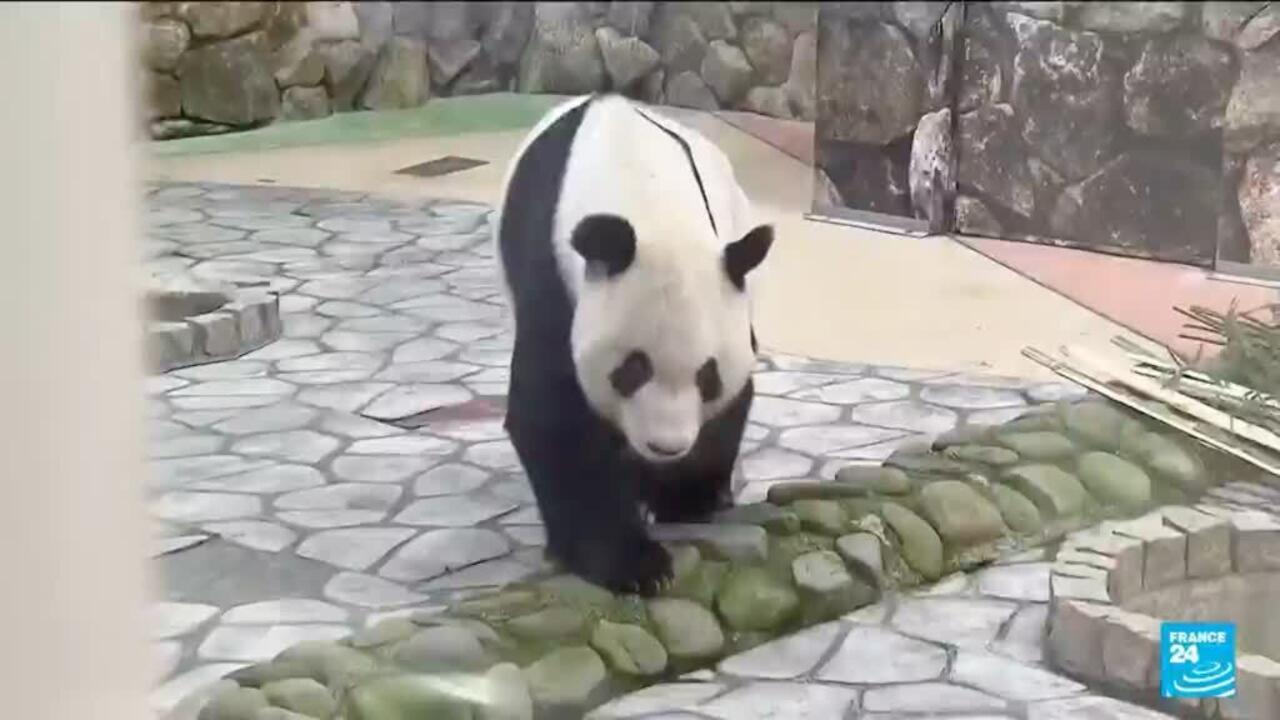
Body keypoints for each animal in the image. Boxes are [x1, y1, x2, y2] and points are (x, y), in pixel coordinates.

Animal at [494, 94, 773, 595]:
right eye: (632, 368)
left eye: (708, 376)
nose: (665, 446)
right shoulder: (554, 275)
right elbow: (554, 416)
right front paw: (636, 564)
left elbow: (734, 401)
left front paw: (688, 498)